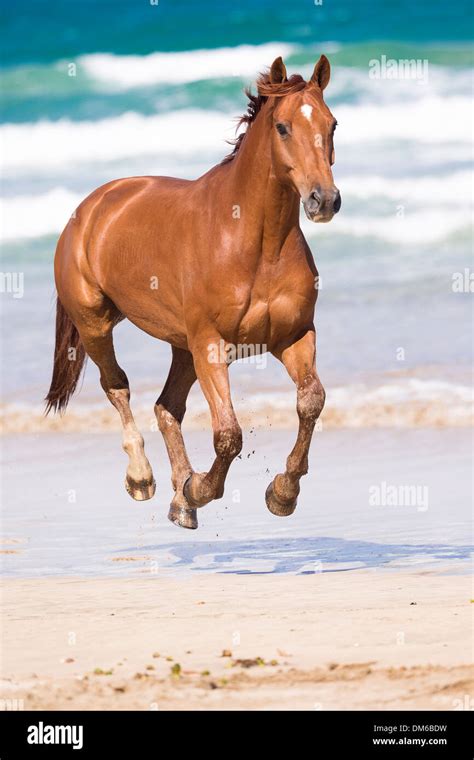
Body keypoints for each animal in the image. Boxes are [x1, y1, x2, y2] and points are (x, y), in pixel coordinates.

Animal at [45, 54, 340, 530]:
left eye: (332, 124)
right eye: (282, 127)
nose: (324, 200)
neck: (255, 243)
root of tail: (90, 207)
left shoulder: (293, 337)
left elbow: (311, 401)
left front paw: (282, 492)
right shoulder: (211, 346)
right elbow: (228, 435)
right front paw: (200, 488)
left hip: (181, 345)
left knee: (167, 408)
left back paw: (180, 500)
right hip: (96, 327)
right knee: (118, 387)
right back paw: (143, 479)